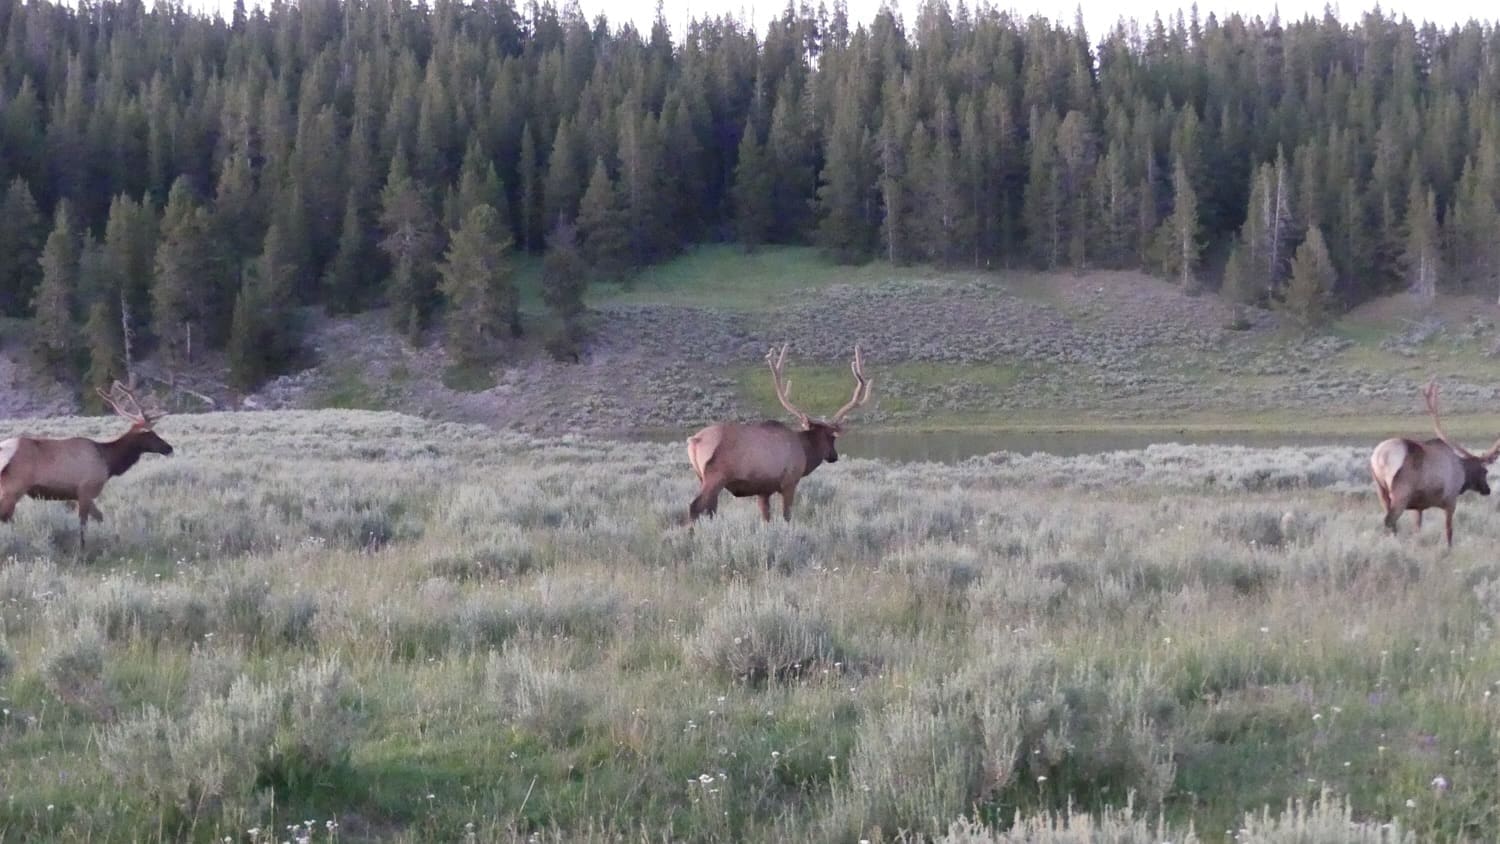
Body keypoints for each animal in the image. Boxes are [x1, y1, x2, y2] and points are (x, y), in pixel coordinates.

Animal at [0, 381, 174, 554]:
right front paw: (83, 550)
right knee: (5, 516)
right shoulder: (86, 489)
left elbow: (100, 517)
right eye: (151, 434)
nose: (169, 448)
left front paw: (114, 540)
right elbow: (84, 523)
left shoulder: (80, 494)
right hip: (13, 487)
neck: (108, 462)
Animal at [687, 344, 872, 523]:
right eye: (832, 437)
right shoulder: (790, 481)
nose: (834, 456)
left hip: (701, 477)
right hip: (715, 476)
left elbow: (766, 517)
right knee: (695, 507)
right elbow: (786, 515)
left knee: (710, 510)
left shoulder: (763, 490)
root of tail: (695, 440)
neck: (805, 452)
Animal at [1370, 378, 1498, 548]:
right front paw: (1449, 549)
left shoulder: (1418, 507)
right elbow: (1449, 531)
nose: (1487, 489)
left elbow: (1417, 528)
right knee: (1389, 521)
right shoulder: (1450, 500)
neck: (1462, 472)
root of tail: (1380, 457)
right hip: (1401, 493)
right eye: (1485, 471)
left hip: (1381, 490)